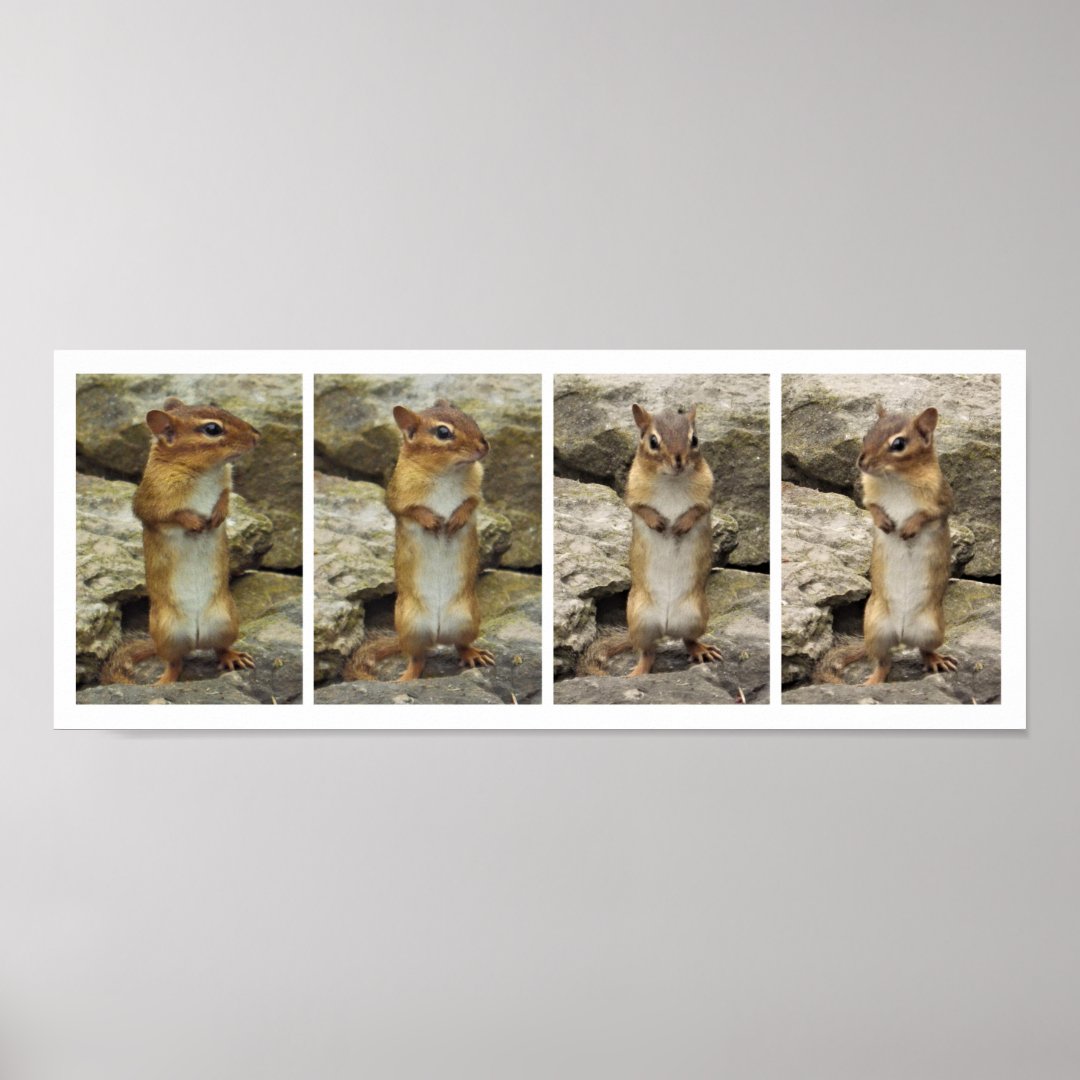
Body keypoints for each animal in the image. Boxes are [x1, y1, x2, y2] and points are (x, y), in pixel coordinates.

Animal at [100, 397, 261, 685]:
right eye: (212, 429)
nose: (257, 436)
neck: (204, 472)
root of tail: (196, 641)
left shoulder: (225, 484)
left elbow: (225, 498)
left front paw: (218, 515)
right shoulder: (151, 501)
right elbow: (170, 515)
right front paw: (194, 522)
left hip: (227, 621)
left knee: (220, 648)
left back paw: (233, 658)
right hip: (166, 634)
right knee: (175, 663)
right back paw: (163, 682)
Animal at [343, 400, 495, 682]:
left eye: (469, 417)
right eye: (443, 432)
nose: (484, 446)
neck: (447, 472)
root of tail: (437, 635)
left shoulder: (477, 490)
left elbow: (470, 503)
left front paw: (456, 518)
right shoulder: (397, 494)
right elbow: (409, 510)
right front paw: (431, 520)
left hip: (468, 619)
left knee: (460, 645)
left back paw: (473, 655)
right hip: (410, 628)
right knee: (417, 659)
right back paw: (405, 678)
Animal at [579, 403, 723, 677]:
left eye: (695, 439)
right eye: (653, 441)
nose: (678, 461)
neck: (671, 480)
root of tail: (666, 628)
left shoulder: (707, 496)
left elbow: (697, 510)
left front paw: (681, 524)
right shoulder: (632, 493)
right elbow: (640, 508)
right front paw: (658, 522)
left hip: (697, 615)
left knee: (688, 640)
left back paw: (701, 651)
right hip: (639, 621)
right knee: (648, 653)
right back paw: (636, 673)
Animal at [815, 405, 958, 685]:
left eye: (898, 444)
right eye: (865, 436)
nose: (861, 462)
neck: (895, 479)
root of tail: (902, 636)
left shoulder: (942, 499)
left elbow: (928, 514)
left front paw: (909, 527)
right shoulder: (869, 495)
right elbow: (872, 508)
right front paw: (884, 522)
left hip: (933, 629)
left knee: (924, 650)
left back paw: (936, 660)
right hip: (874, 630)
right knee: (884, 663)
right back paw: (872, 682)